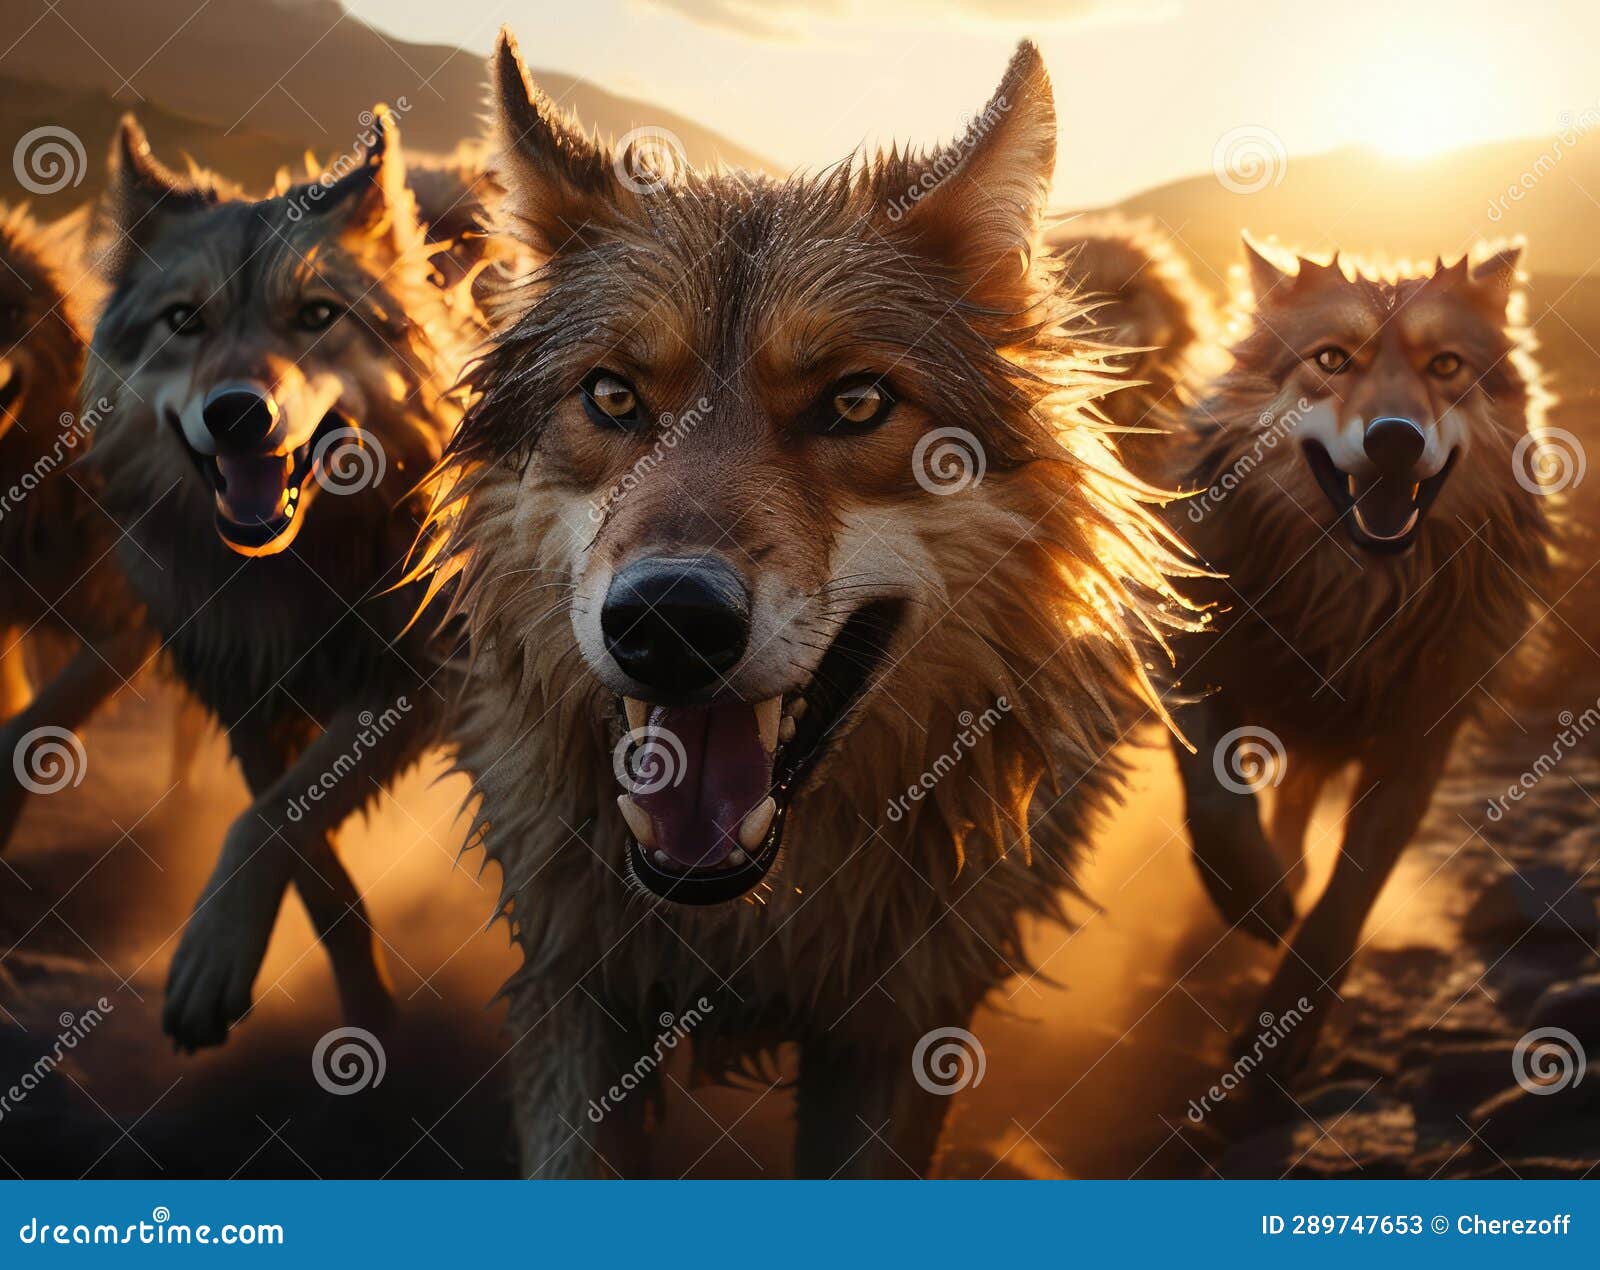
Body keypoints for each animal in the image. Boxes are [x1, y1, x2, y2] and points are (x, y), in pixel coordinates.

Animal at [82, 108, 474, 1049]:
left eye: (316, 315)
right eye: (185, 320)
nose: (236, 414)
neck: (294, 574)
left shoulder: (416, 682)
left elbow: (269, 823)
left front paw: (211, 957)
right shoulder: (242, 698)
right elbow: (315, 870)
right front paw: (366, 1010)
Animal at [425, 30, 1189, 1178]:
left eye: (856, 403)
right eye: (612, 396)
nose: (668, 619)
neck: (748, 927)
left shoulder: (900, 1028)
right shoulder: (575, 984)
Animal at [1162, 239, 1556, 1094]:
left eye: (1445, 365)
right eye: (1332, 360)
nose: (1395, 440)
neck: (1352, 601)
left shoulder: (1419, 742)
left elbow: (1352, 890)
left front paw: (1286, 1024)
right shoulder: (1184, 659)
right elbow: (1214, 795)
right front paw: (1249, 898)